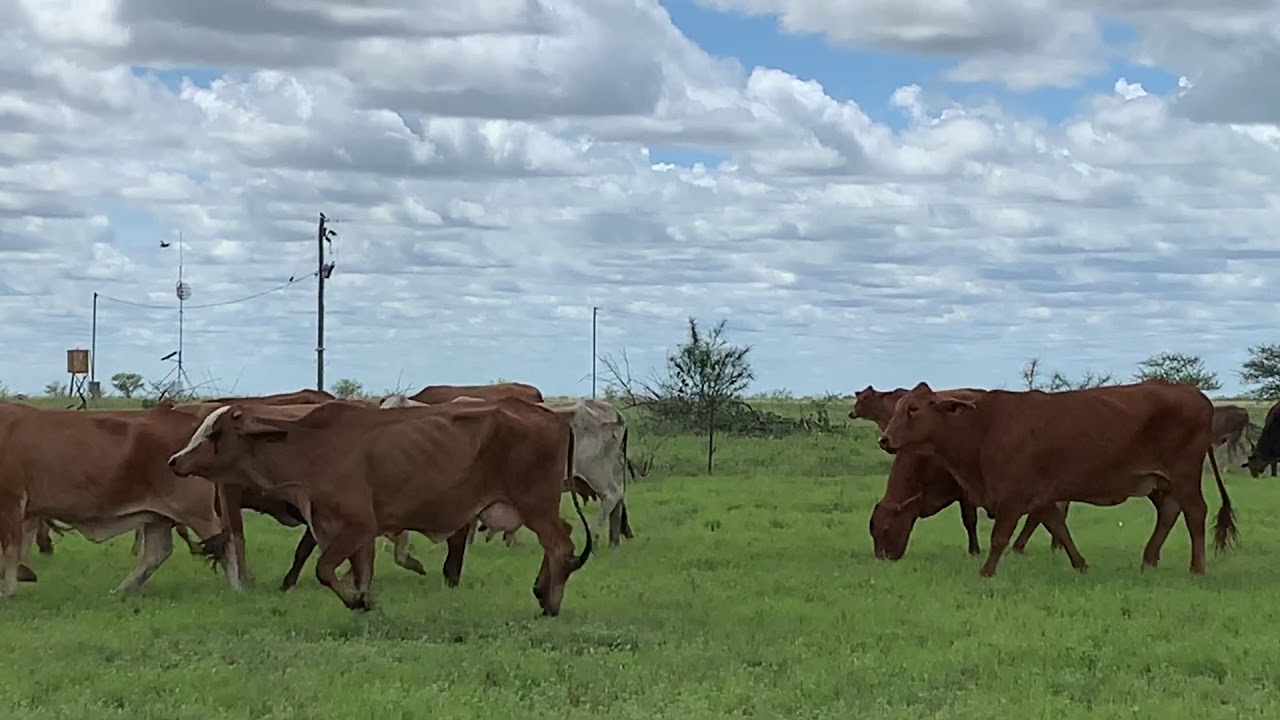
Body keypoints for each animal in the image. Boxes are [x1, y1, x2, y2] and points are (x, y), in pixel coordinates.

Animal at [0, 402, 235, 596]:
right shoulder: (29, 512)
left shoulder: (10, 501)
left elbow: (10, 549)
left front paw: (8, 592)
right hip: (157, 516)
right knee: (157, 553)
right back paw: (121, 591)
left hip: (196, 511)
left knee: (225, 543)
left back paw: (237, 589)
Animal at [168, 398, 593, 615]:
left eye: (216, 433)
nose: (174, 461)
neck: (311, 449)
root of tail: (555, 418)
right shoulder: (349, 533)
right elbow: (360, 573)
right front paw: (364, 600)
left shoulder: (357, 526)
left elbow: (324, 569)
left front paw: (356, 602)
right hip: (537, 506)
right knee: (561, 540)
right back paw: (541, 591)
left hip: (535, 503)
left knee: (561, 545)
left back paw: (550, 602)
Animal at [877, 380, 1237, 578]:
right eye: (898, 407)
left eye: (913, 409)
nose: (884, 439)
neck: (983, 427)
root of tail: (1198, 396)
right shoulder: (1042, 497)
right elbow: (1059, 528)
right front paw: (1081, 565)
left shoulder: (1013, 495)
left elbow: (1000, 537)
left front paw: (986, 572)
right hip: (1161, 482)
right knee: (1169, 512)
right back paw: (1148, 560)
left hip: (1184, 473)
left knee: (1194, 513)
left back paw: (1196, 568)